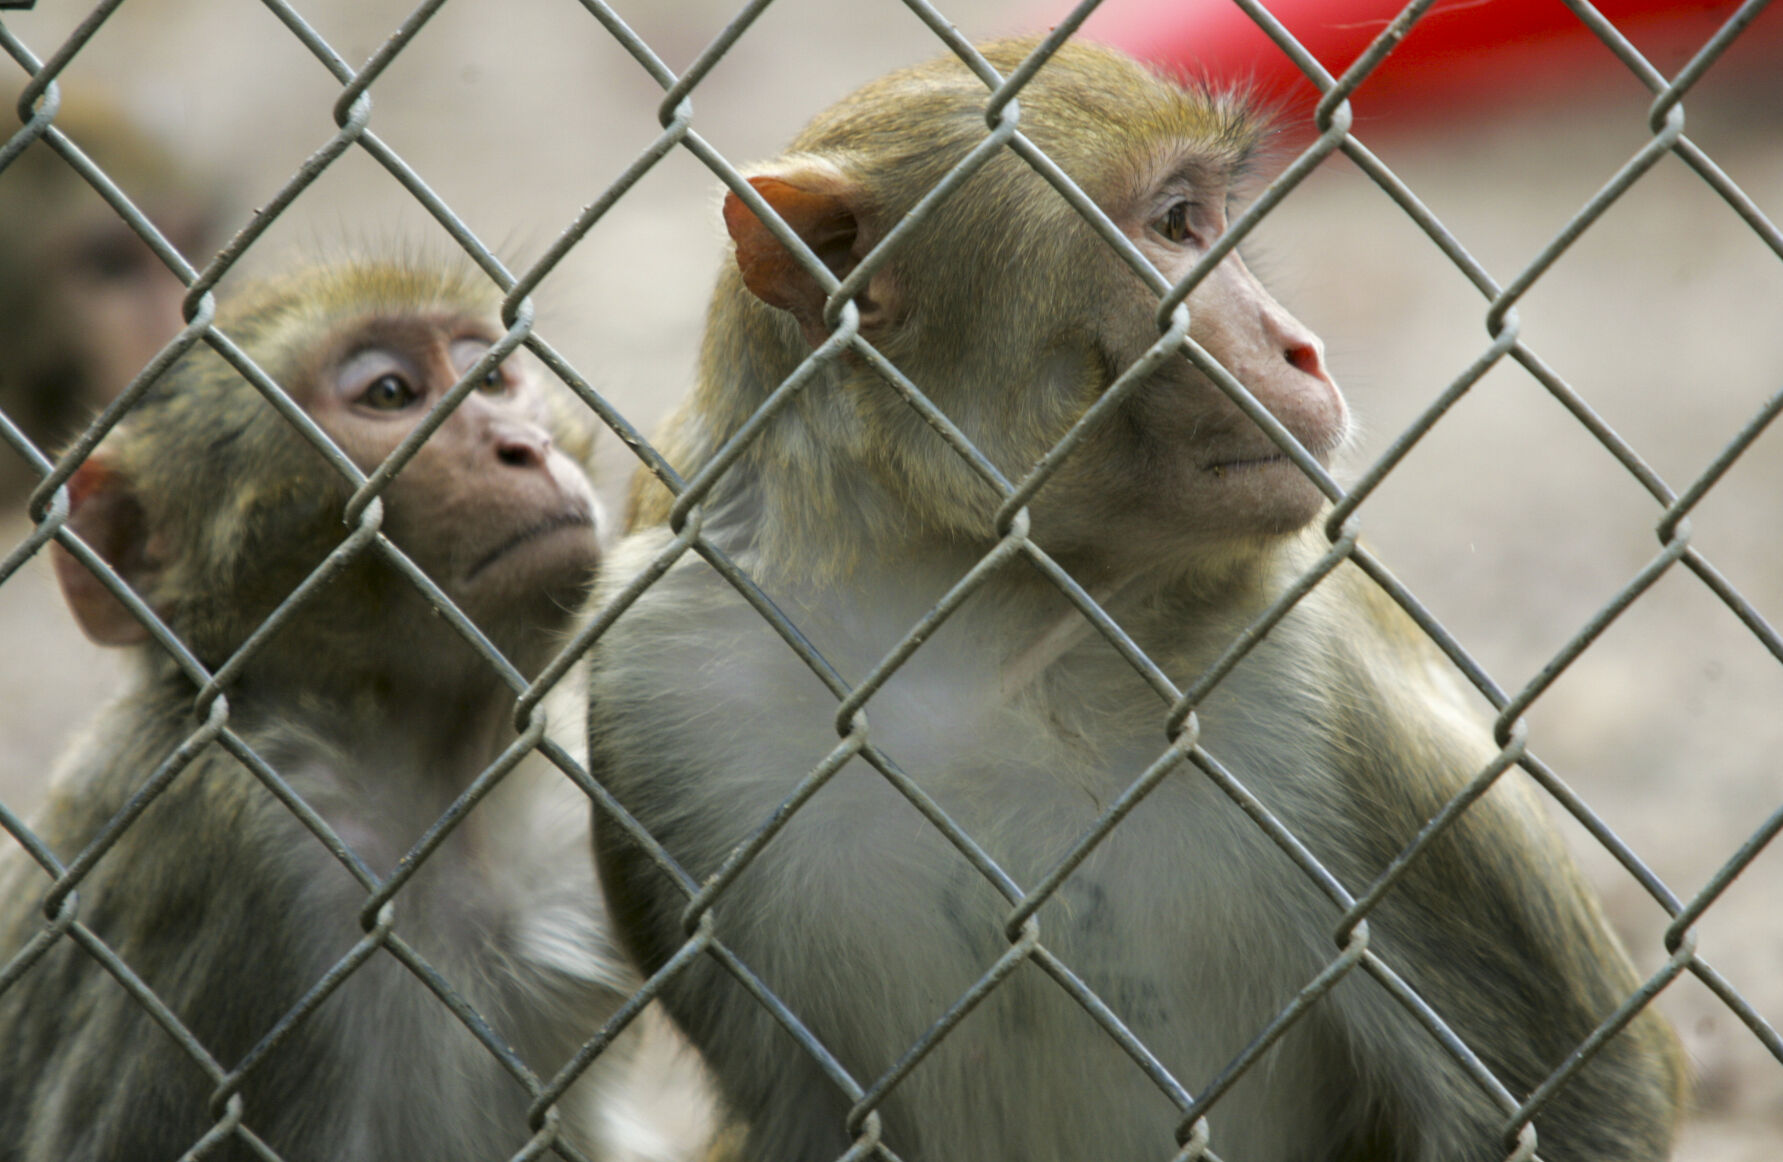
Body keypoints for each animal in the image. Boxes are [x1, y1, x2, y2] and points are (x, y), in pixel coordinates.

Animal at [585, 39, 1687, 1162]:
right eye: (1174, 223)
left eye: (1207, 215)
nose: (1299, 347)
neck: (967, 608)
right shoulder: (650, 667)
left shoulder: (1316, 663)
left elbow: (1574, 1092)